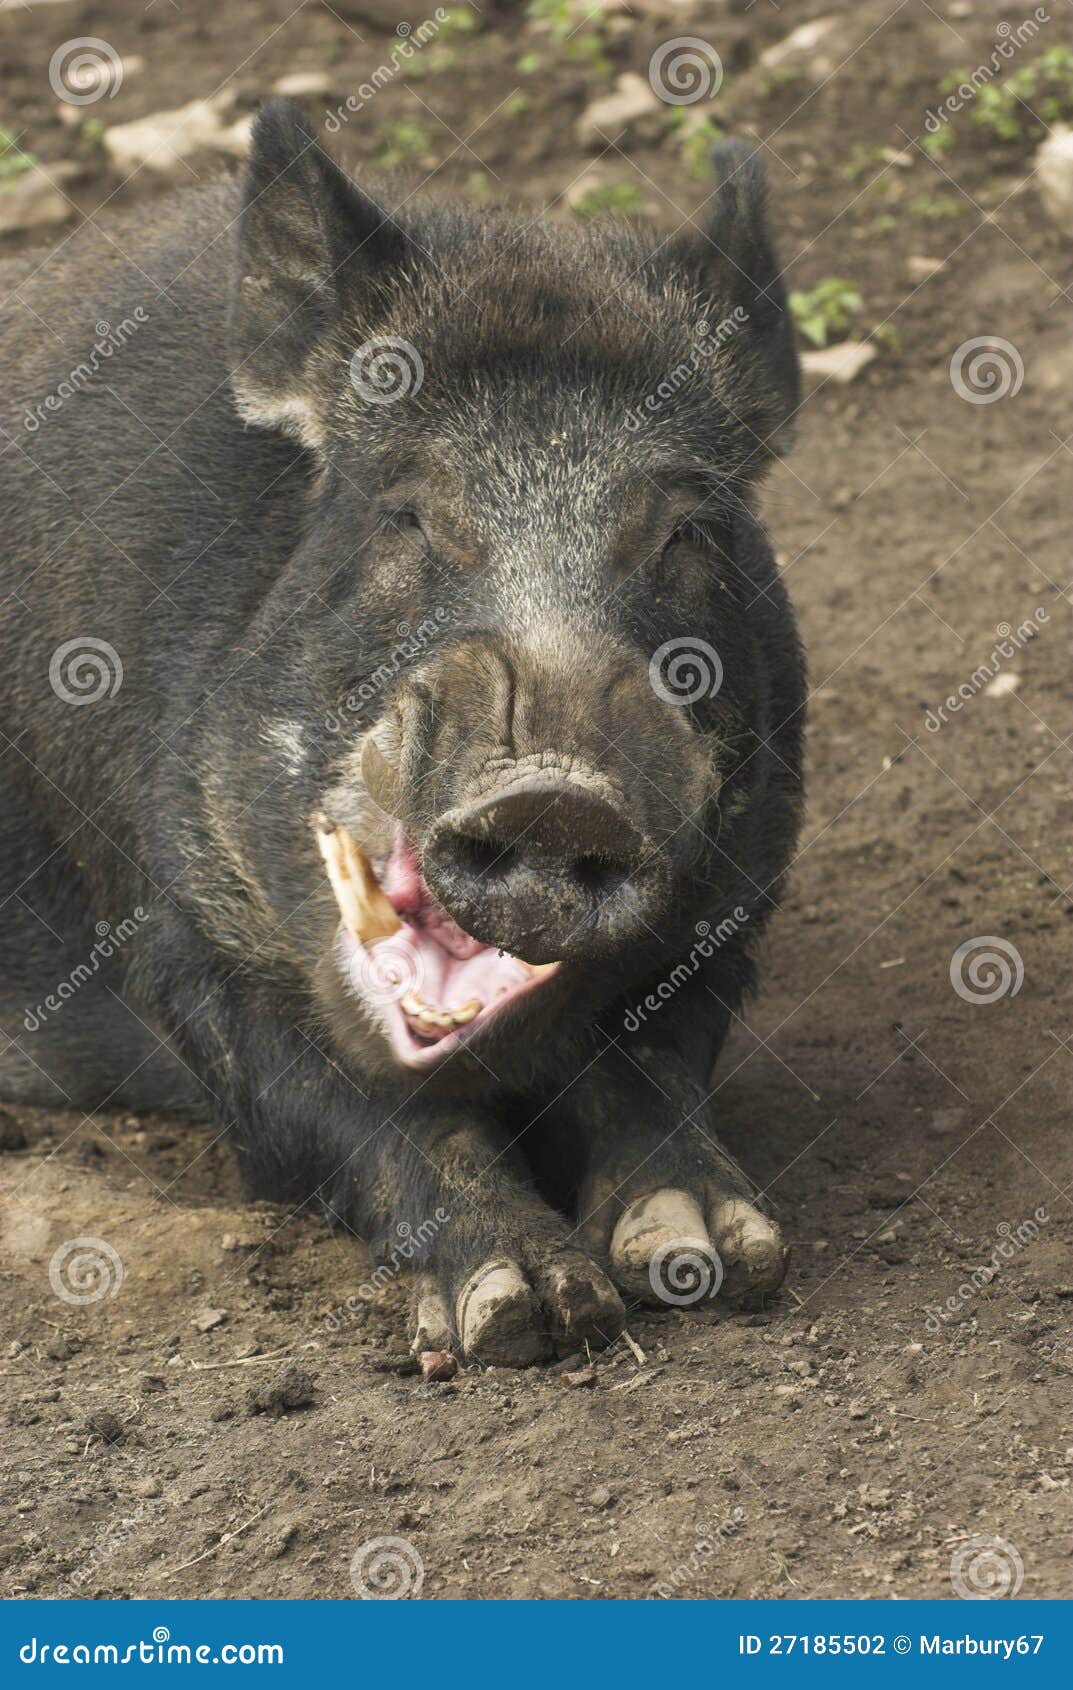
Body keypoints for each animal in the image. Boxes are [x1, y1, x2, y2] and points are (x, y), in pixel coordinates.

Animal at [0, 102, 804, 1364]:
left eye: (688, 532)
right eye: (404, 515)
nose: (551, 793)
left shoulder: (739, 905)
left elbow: (653, 1056)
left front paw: (710, 1255)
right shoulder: (166, 925)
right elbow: (354, 1106)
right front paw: (521, 1312)